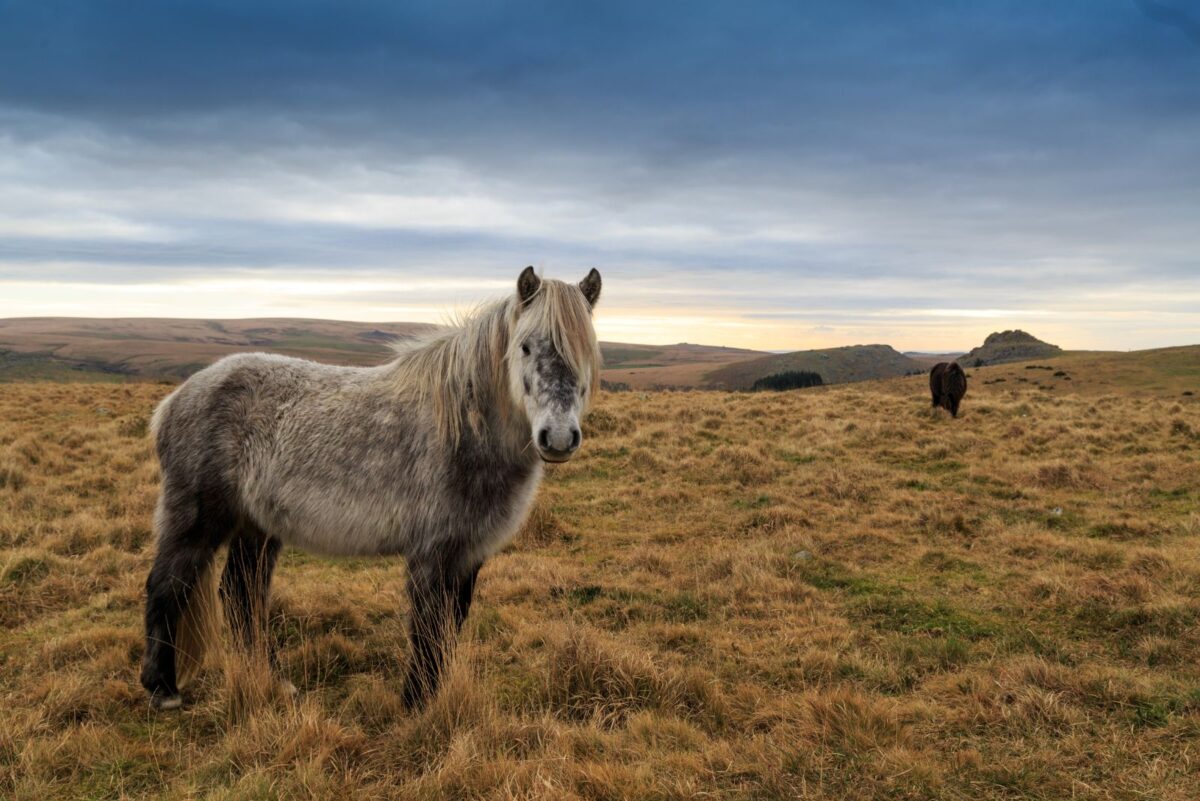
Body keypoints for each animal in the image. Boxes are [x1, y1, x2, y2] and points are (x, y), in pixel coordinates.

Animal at [140, 267, 602, 711]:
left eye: (588, 351)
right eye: (526, 347)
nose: (558, 438)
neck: (462, 428)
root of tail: (174, 400)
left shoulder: (469, 553)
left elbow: (452, 628)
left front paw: (436, 697)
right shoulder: (431, 553)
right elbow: (429, 630)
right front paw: (416, 705)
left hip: (256, 526)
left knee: (241, 596)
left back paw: (270, 681)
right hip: (196, 519)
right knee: (168, 584)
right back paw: (163, 689)